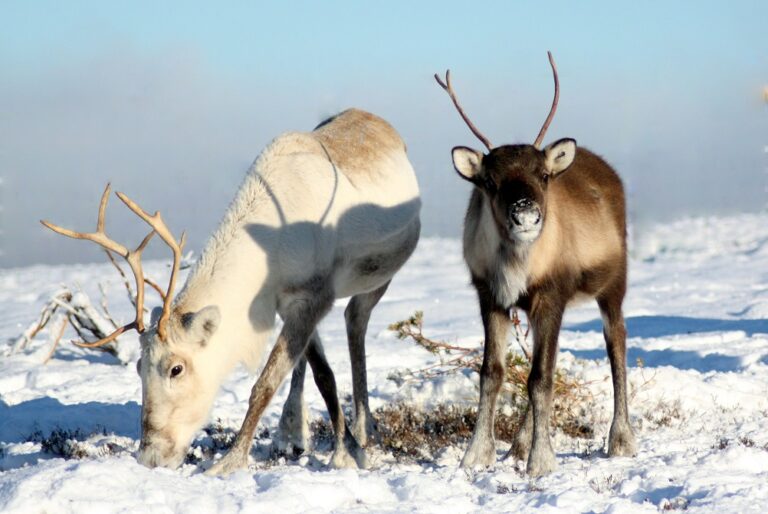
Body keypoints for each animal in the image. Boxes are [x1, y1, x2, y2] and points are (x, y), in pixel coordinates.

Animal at [41, 108, 421, 476]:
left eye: (176, 368)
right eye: (137, 366)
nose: (150, 457)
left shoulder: (312, 297)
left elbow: (272, 383)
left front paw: (235, 461)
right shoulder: (289, 302)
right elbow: (318, 372)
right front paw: (339, 447)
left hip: (380, 277)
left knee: (355, 320)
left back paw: (364, 428)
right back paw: (292, 432)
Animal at [434, 52, 636, 476]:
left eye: (543, 175)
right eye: (489, 182)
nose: (525, 215)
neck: (517, 263)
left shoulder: (551, 293)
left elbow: (540, 378)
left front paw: (541, 460)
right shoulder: (490, 294)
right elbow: (493, 373)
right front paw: (477, 455)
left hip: (613, 285)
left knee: (617, 342)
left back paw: (621, 438)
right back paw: (519, 443)